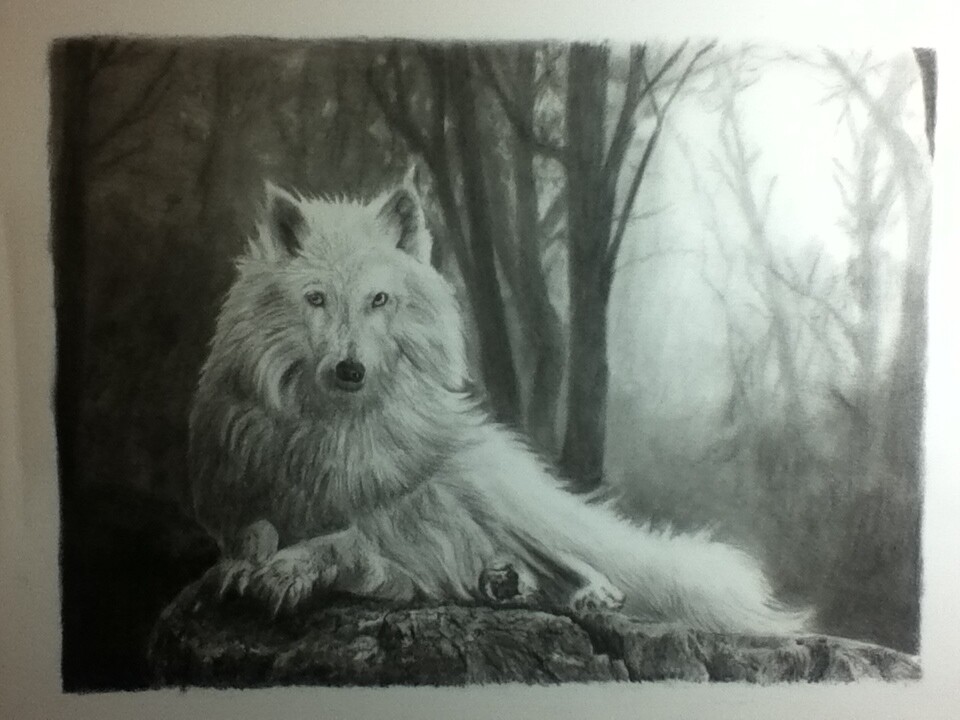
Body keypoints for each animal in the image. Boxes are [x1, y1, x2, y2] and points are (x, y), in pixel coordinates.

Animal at [188, 172, 811, 634]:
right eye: (316, 299)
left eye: (379, 300)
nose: (350, 370)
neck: (332, 427)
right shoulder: (249, 495)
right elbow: (257, 531)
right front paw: (242, 567)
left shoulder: (391, 529)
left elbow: (340, 539)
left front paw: (288, 571)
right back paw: (502, 583)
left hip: (493, 499)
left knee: (575, 559)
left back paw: (589, 593)